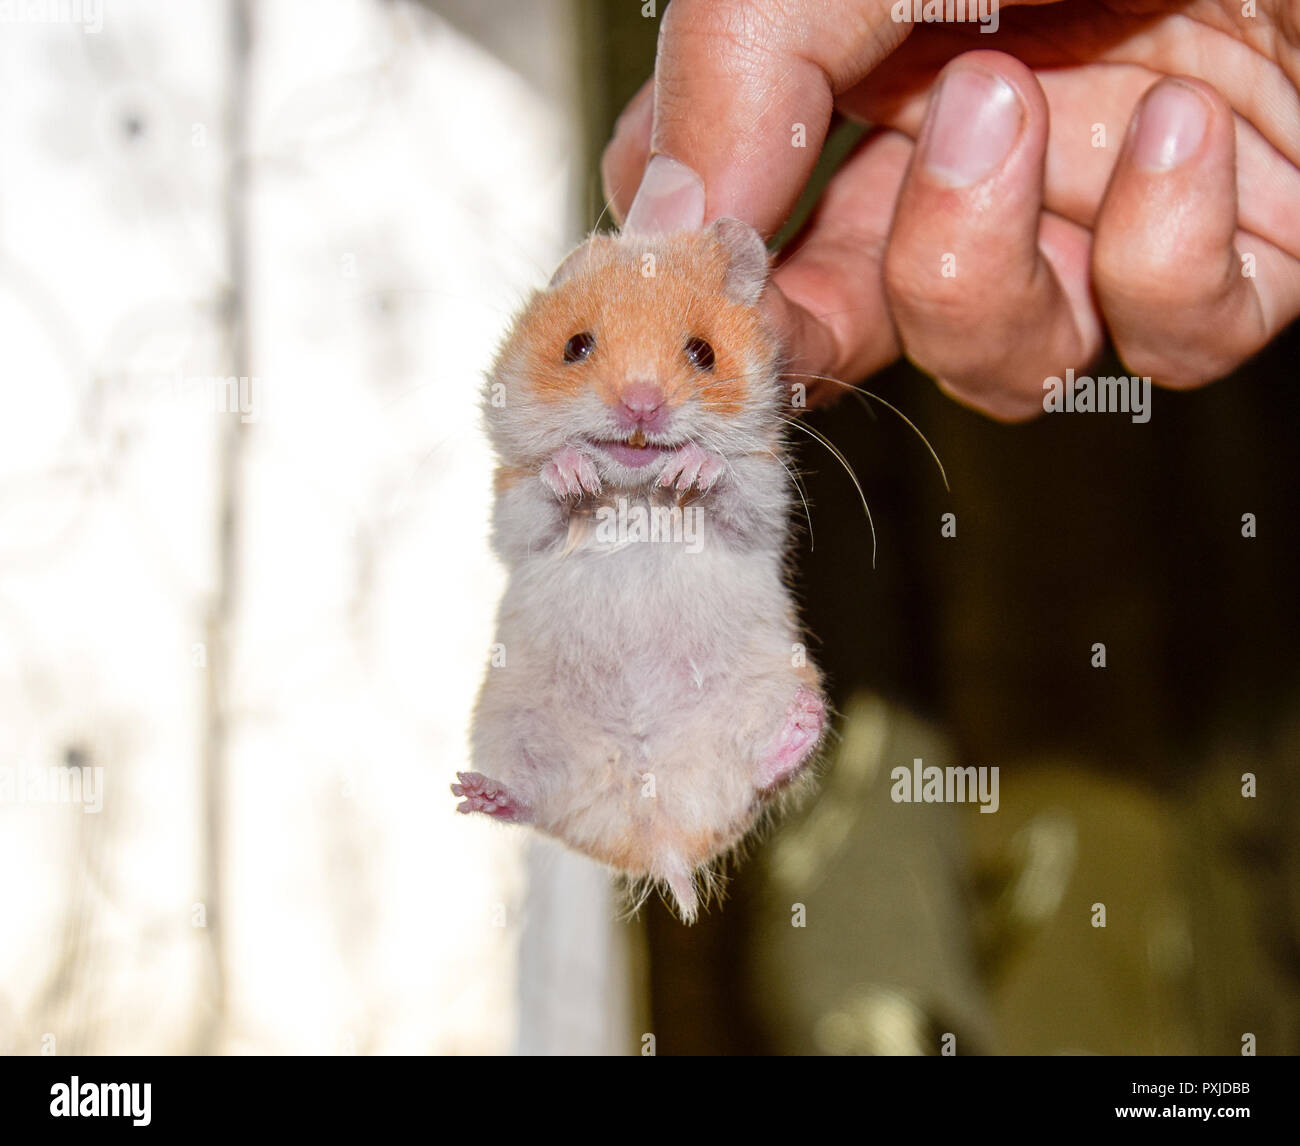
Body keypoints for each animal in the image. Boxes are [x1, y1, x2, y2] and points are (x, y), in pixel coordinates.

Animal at [457, 217, 826, 923]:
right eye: (575, 346)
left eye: (703, 353)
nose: (641, 405)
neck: (635, 495)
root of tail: (657, 834)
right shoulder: (511, 513)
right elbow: (535, 500)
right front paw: (573, 471)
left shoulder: (765, 504)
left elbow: (735, 487)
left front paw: (693, 468)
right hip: (513, 725)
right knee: (538, 804)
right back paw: (477, 793)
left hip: (762, 691)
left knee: (760, 777)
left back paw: (800, 729)